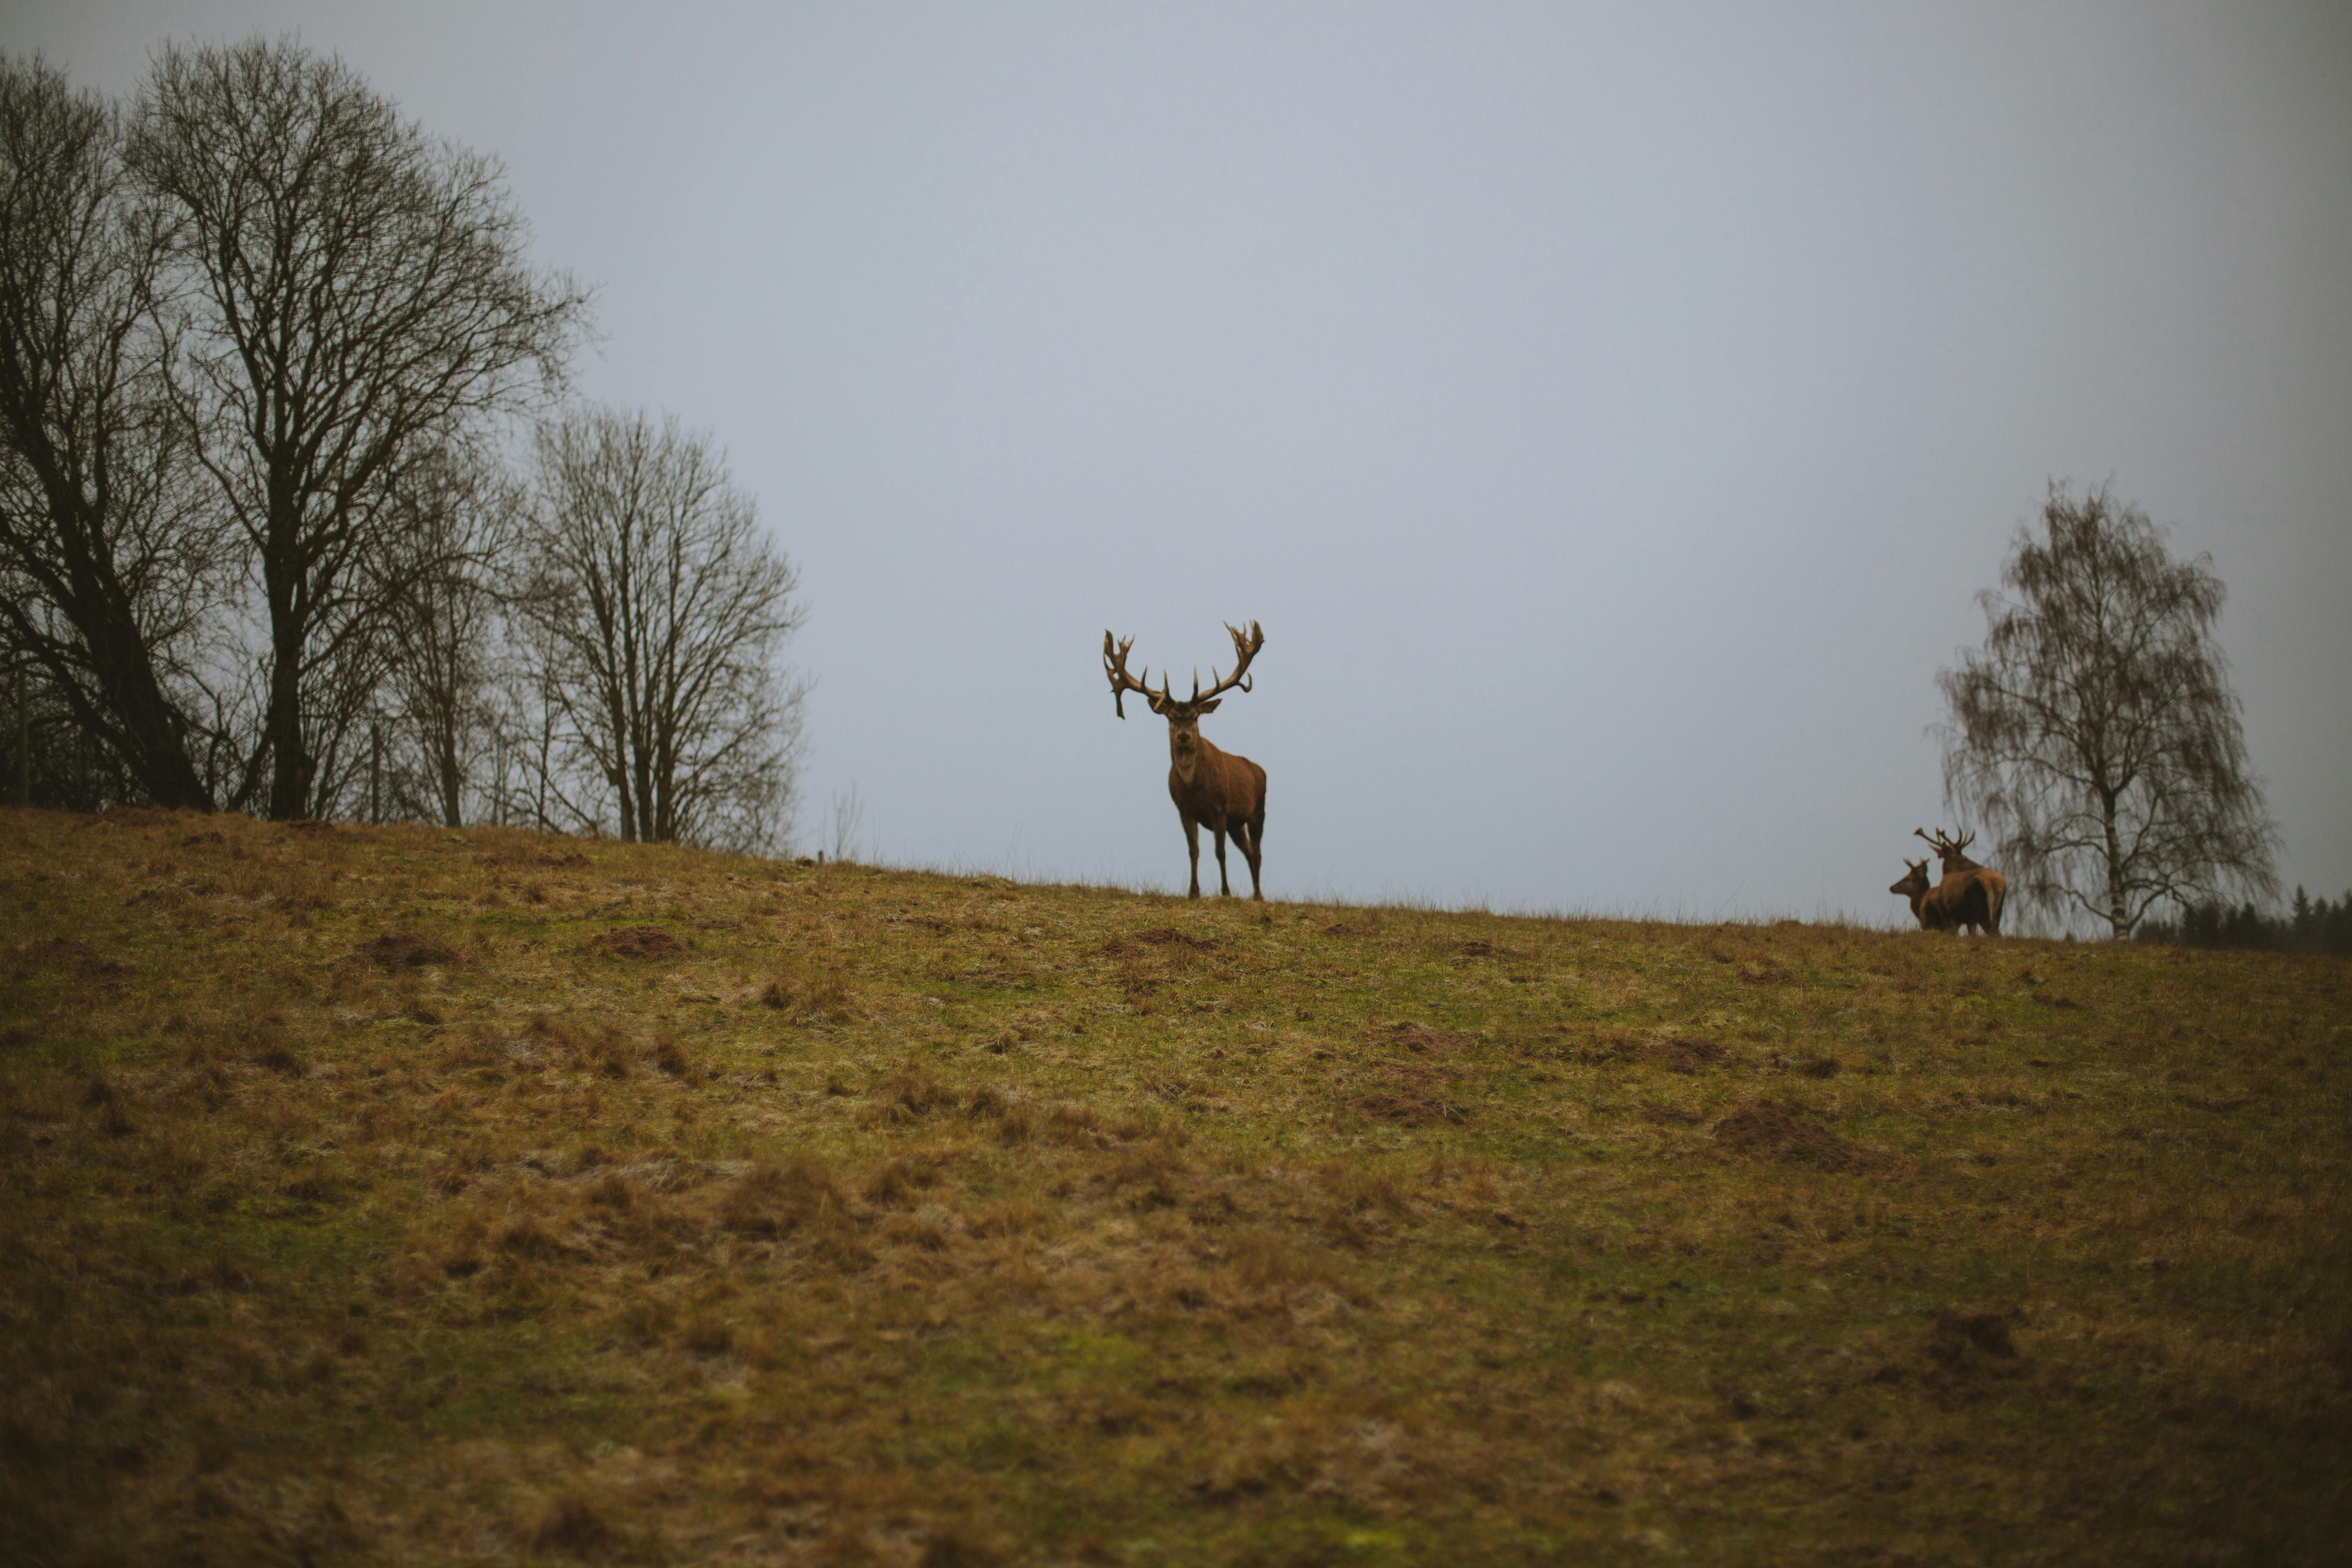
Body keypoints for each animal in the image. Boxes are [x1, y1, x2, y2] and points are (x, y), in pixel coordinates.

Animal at [1103, 620, 1268, 900]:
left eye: (1195, 716)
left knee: (1257, 852)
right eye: (1170, 717)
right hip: (1237, 823)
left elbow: (1220, 852)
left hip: (1258, 811)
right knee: (1248, 851)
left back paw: (1258, 896)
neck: (1195, 788)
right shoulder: (1184, 810)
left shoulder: (1220, 808)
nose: (1183, 736)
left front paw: (1225, 892)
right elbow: (1194, 851)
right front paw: (1194, 892)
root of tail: (1260, 771)